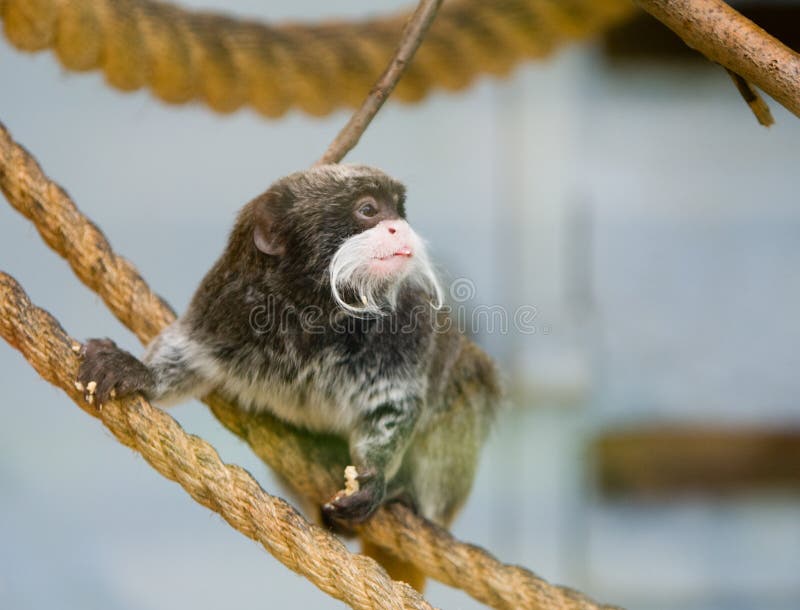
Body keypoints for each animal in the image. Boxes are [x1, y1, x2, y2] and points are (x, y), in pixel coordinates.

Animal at [77, 164, 501, 588]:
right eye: (368, 209)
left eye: (398, 211)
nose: (400, 228)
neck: (314, 308)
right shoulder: (225, 304)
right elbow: (189, 355)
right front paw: (140, 372)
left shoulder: (408, 320)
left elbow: (394, 403)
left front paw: (377, 476)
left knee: (469, 381)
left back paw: (407, 496)